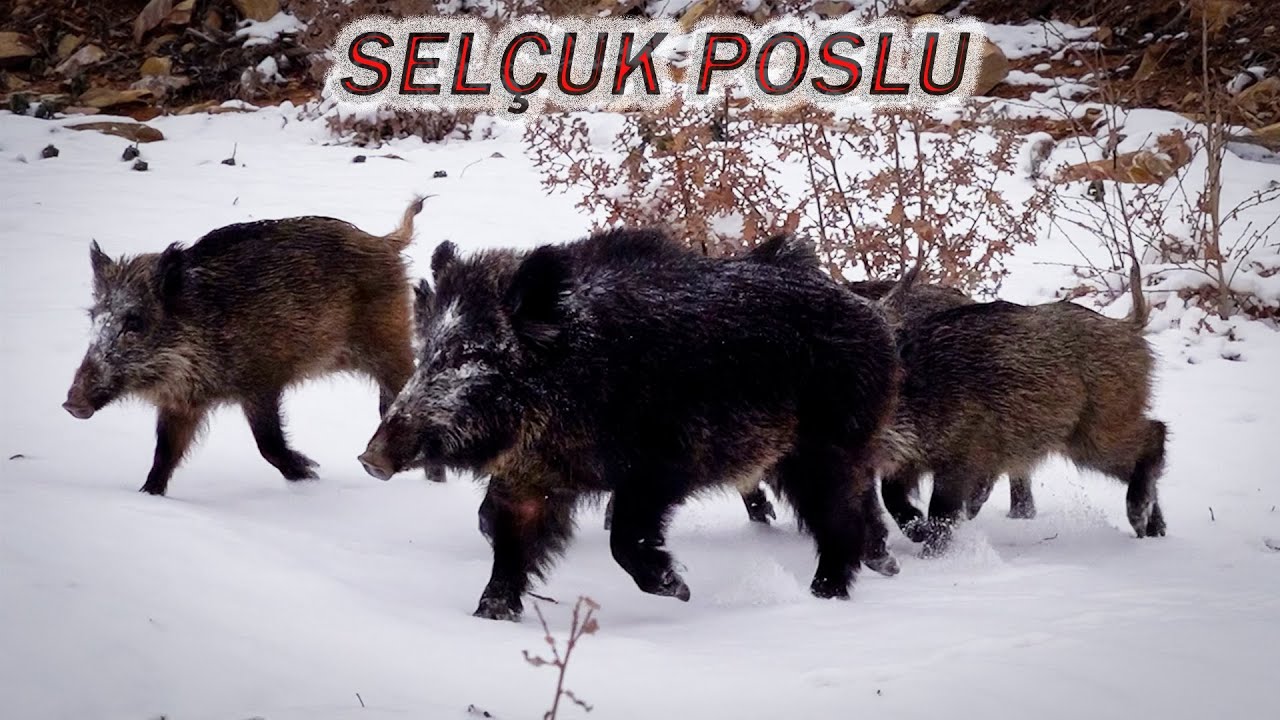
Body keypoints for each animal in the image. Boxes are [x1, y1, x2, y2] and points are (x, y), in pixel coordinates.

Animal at [63, 199, 427, 496]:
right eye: (94, 317)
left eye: (134, 323)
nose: (72, 403)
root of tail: (386, 242)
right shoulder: (182, 403)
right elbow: (164, 453)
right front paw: (147, 495)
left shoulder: (261, 381)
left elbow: (267, 442)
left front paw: (311, 474)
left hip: (388, 340)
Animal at [359, 228, 899, 620]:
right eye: (428, 351)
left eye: (473, 355)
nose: (370, 458)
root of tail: (874, 318)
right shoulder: (530, 479)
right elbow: (510, 545)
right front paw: (489, 617)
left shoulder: (664, 464)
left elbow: (624, 536)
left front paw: (679, 589)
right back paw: (880, 568)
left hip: (825, 449)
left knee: (841, 521)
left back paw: (824, 596)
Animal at [860, 266, 1166, 555]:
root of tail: (1128, 326)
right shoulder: (907, 461)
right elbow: (891, 495)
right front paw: (919, 531)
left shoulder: (965, 456)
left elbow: (942, 510)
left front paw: (932, 555)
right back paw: (1153, 532)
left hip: (1100, 429)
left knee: (1155, 432)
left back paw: (1139, 519)